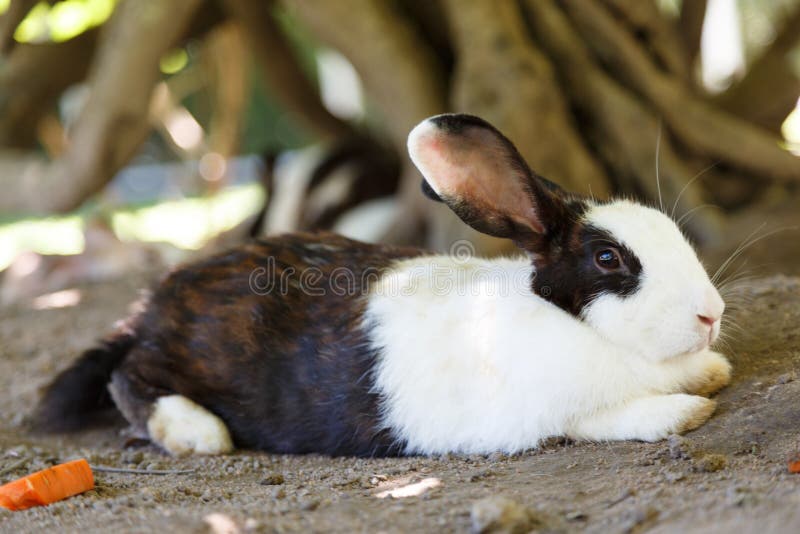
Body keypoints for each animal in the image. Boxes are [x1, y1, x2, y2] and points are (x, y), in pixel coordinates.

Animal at [34, 113, 732, 457]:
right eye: (609, 259)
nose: (711, 315)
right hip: (178, 356)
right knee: (126, 374)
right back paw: (196, 432)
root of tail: (151, 308)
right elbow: (617, 419)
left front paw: (713, 372)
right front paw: (686, 410)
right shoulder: (555, 415)